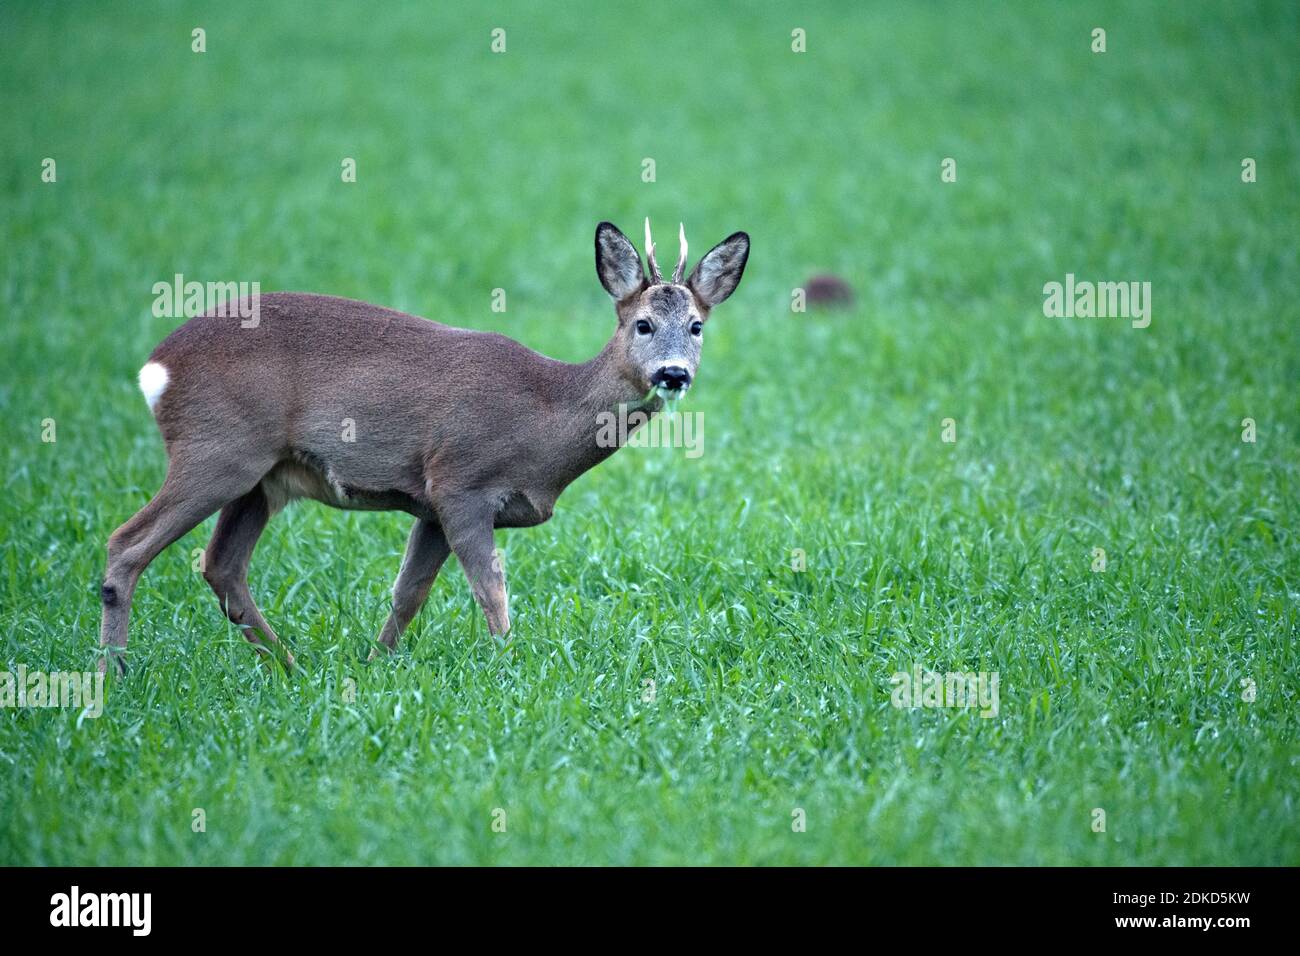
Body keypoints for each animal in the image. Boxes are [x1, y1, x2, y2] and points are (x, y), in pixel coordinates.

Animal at [99, 219, 750, 674]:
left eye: (696, 326)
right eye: (642, 323)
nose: (673, 374)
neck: (546, 417)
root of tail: (156, 368)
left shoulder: (432, 503)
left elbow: (407, 594)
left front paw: (374, 665)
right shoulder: (461, 479)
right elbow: (491, 592)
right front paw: (511, 667)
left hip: (260, 478)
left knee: (222, 566)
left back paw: (288, 666)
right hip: (217, 449)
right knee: (127, 543)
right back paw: (116, 674)